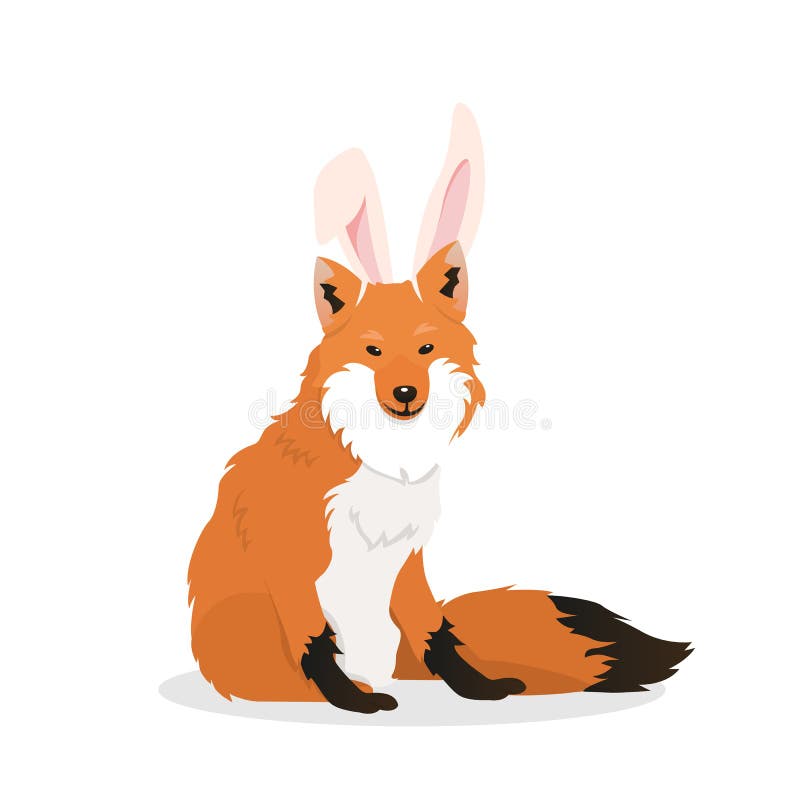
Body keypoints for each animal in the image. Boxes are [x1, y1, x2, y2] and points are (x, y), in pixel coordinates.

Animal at [187, 105, 691, 713]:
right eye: (374, 352)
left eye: (426, 349)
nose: (406, 393)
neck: (383, 467)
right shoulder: (292, 559)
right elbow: (314, 643)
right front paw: (350, 703)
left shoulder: (407, 560)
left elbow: (436, 634)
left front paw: (477, 688)